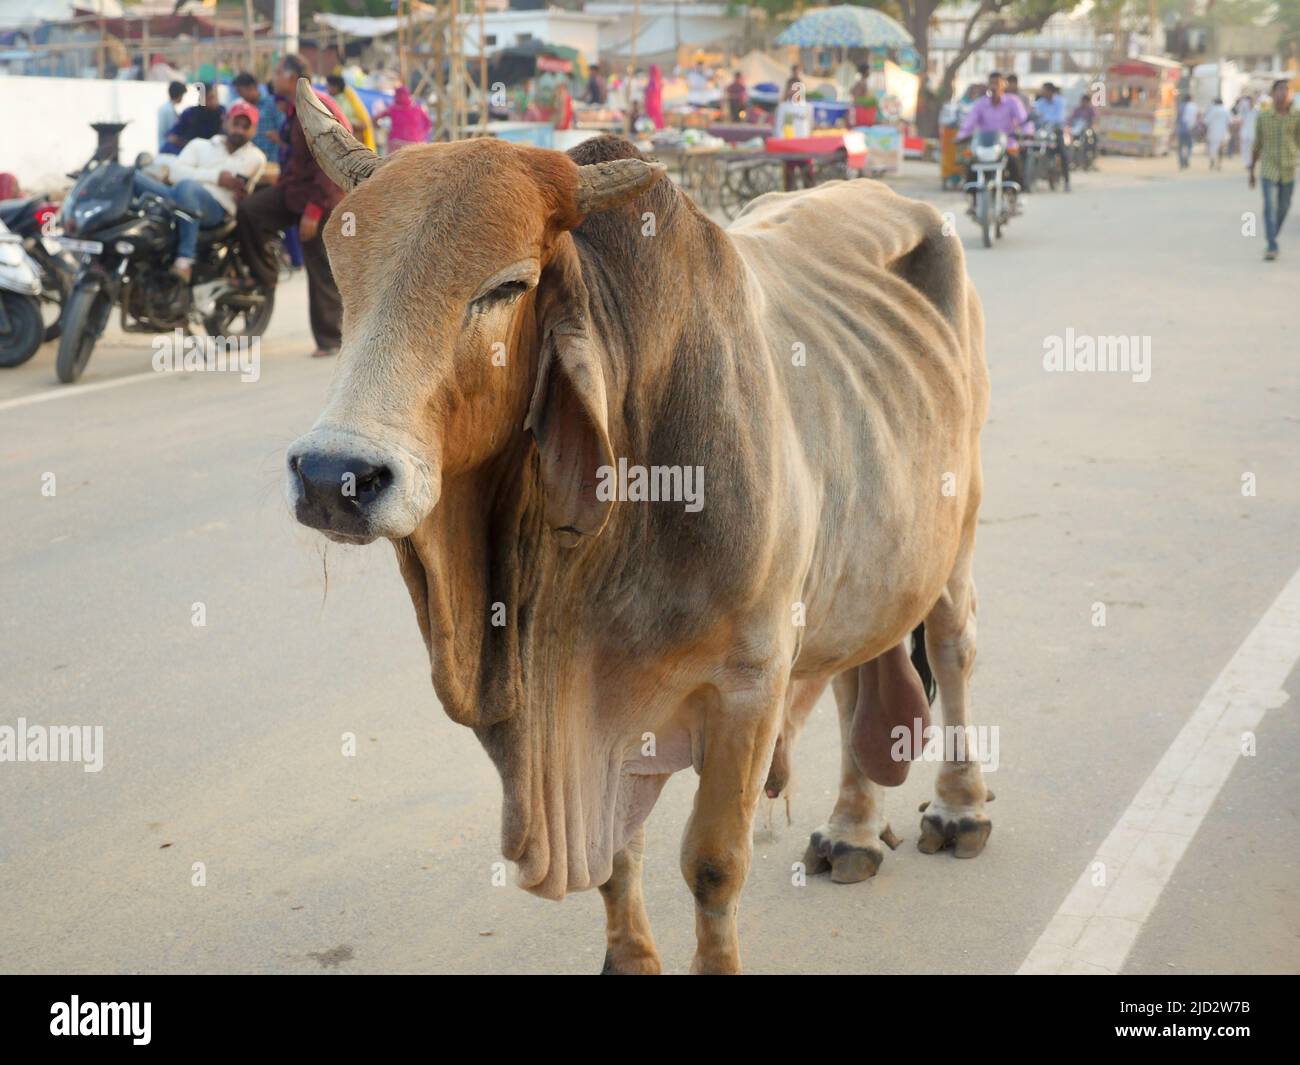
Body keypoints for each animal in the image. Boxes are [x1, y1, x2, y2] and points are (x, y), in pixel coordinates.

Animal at [284, 80, 992, 974]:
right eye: (345, 277)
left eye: (507, 286)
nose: (331, 475)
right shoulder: (598, 715)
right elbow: (617, 853)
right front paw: (628, 956)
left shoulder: (750, 683)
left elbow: (714, 864)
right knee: (856, 668)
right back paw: (852, 830)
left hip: (958, 526)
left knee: (952, 647)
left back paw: (961, 807)